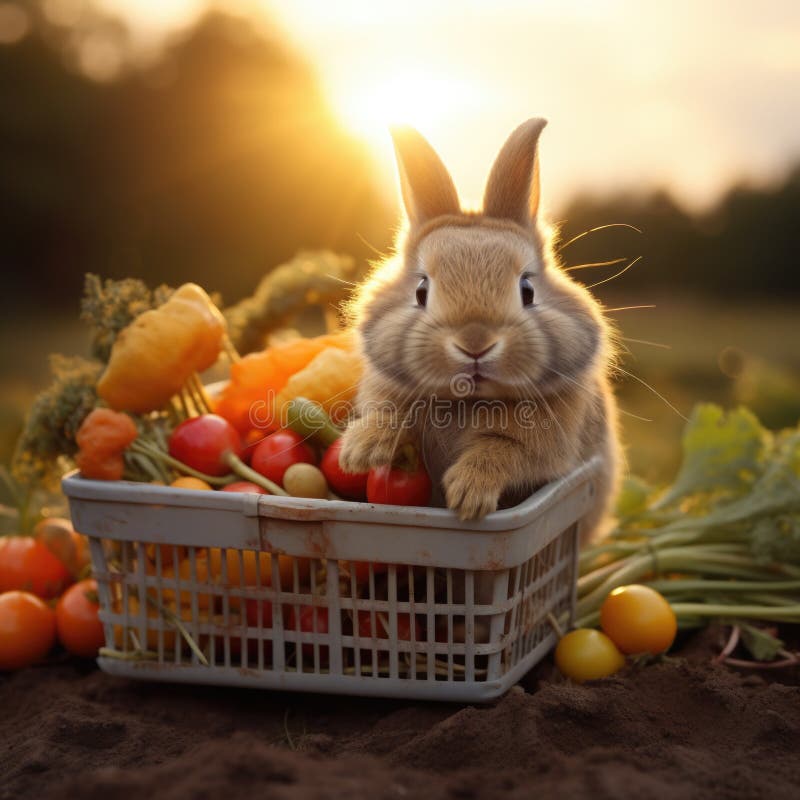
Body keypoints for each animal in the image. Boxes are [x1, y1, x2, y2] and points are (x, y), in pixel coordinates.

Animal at [339, 118, 620, 541]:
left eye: (527, 290)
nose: (475, 344)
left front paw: (467, 497)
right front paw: (358, 452)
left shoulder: (542, 449)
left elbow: (500, 451)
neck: (468, 402)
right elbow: (388, 416)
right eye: (421, 291)